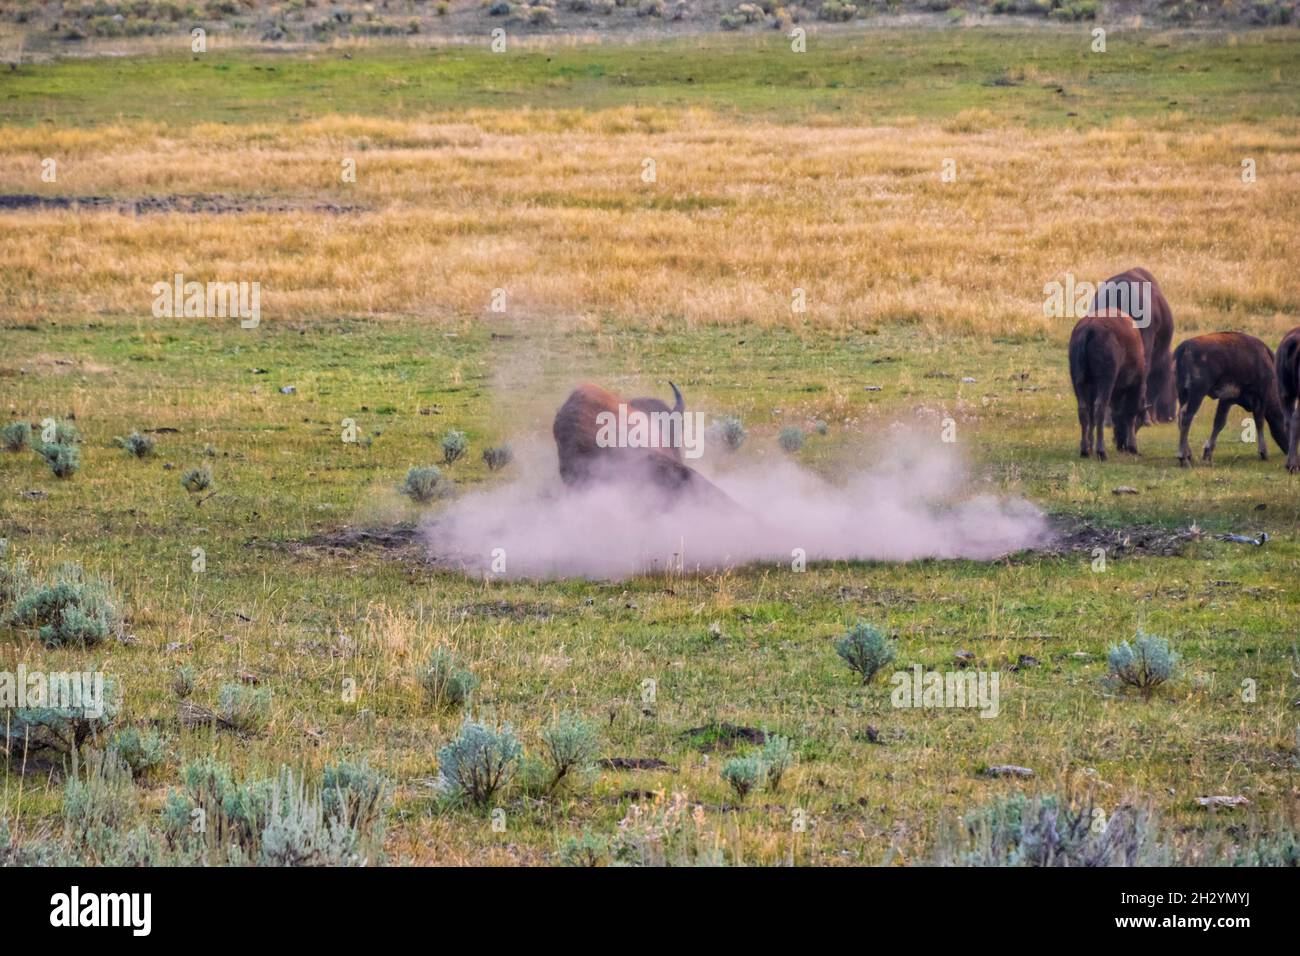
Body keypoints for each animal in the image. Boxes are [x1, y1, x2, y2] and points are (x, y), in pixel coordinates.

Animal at [1069, 310, 1147, 460]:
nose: (1120, 445)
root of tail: (1088, 328)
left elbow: (1092, 417)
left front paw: (1090, 445)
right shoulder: (1136, 384)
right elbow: (1130, 413)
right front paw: (1133, 447)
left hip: (1078, 381)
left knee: (1084, 410)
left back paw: (1085, 450)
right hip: (1106, 381)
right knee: (1100, 408)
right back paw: (1101, 451)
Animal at [1173, 332, 1288, 467]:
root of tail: (1185, 347)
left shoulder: (1227, 400)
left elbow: (1219, 423)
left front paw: (1207, 454)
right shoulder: (1259, 397)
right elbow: (1259, 422)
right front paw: (1263, 453)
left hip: (1183, 394)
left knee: (1181, 418)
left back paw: (1188, 455)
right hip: (1197, 394)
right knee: (1187, 417)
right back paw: (1183, 458)